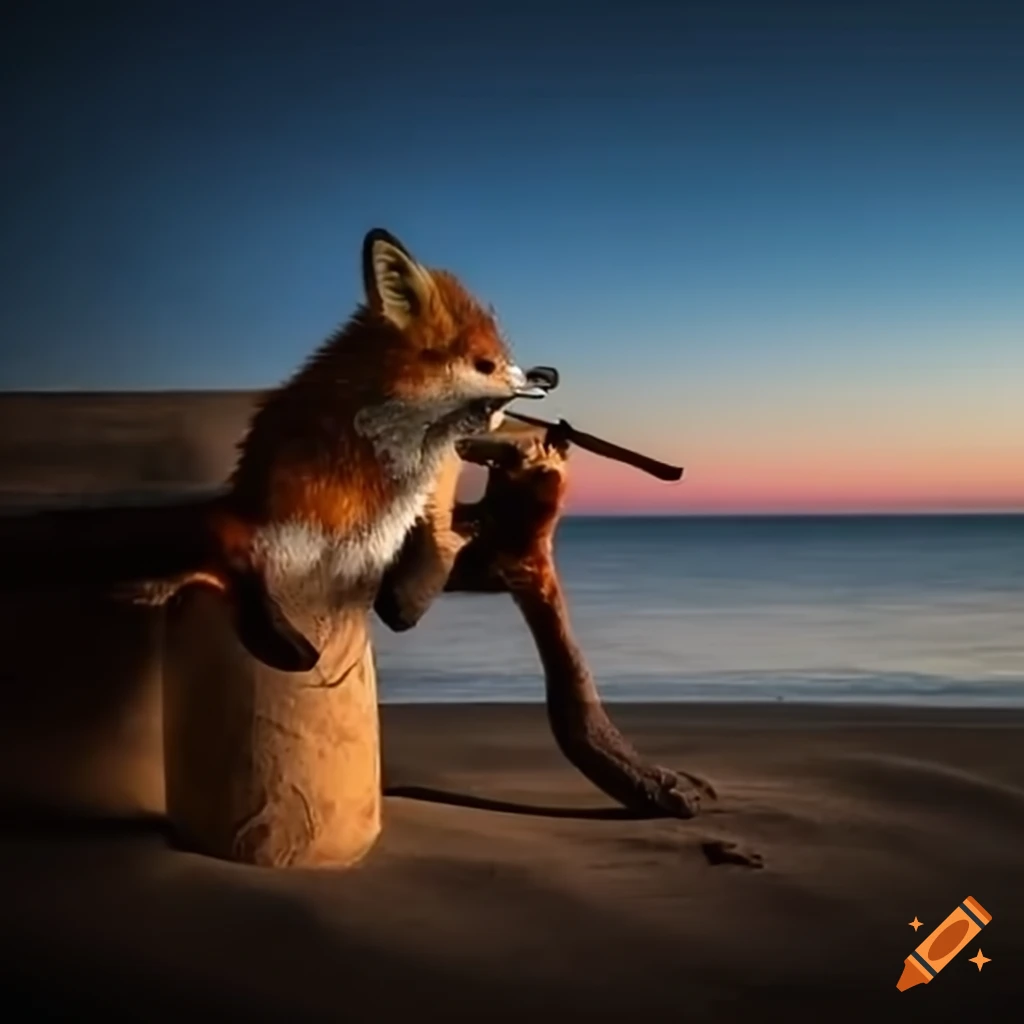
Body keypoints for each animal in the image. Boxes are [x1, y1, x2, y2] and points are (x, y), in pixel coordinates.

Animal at [0, 228, 557, 672]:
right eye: (486, 364)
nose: (545, 377)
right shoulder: (248, 523)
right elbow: (231, 560)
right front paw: (283, 641)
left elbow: (410, 587)